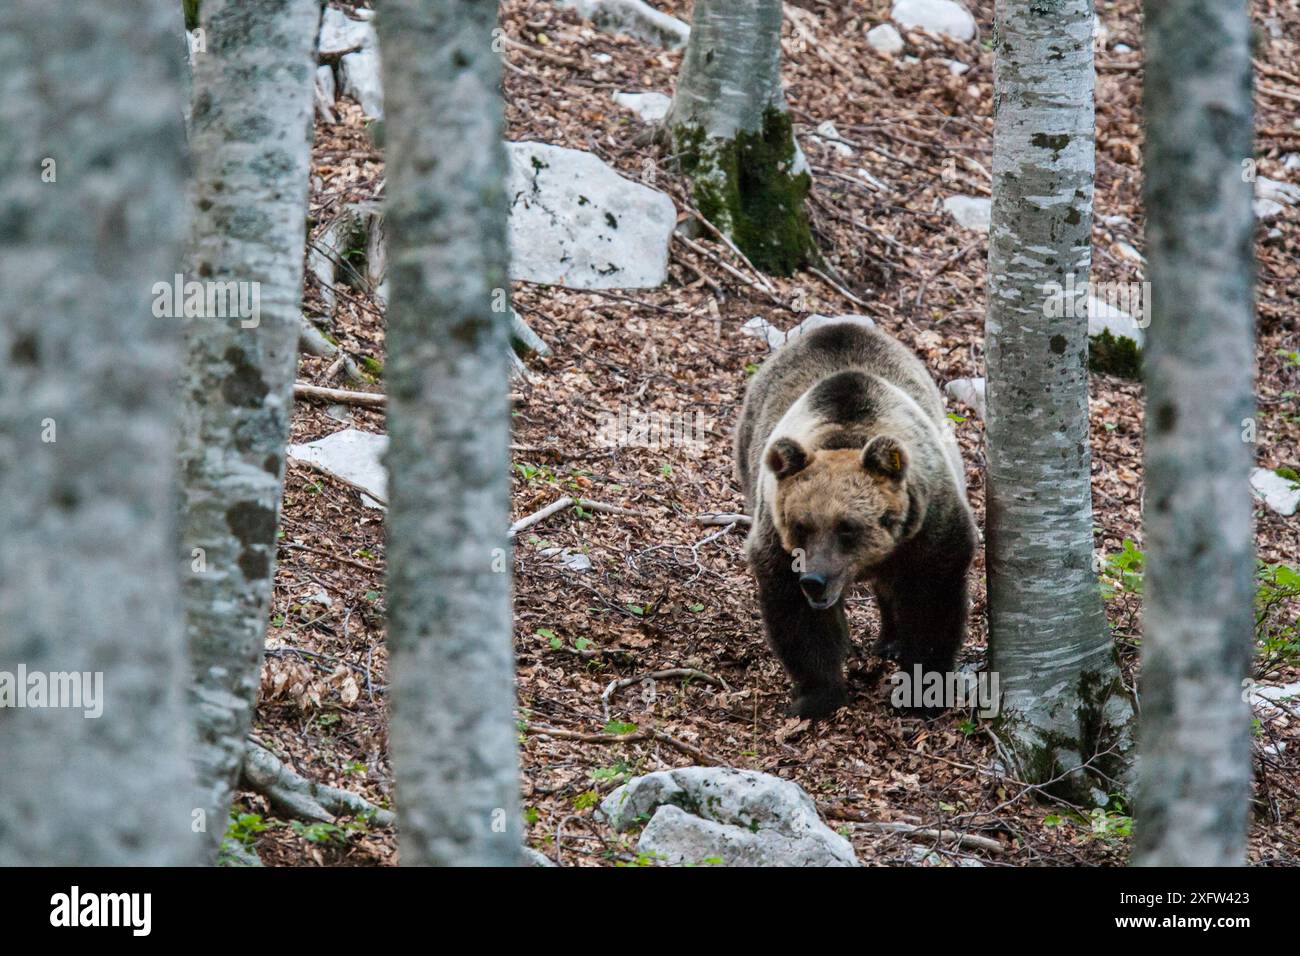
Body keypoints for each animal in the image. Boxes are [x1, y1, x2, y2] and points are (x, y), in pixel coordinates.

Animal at [735, 321, 977, 719]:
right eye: (800, 525)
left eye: (846, 526)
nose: (815, 580)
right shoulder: (777, 539)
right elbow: (799, 617)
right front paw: (818, 695)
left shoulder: (929, 528)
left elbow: (931, 601)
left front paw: (922, 692)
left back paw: (891, 641)